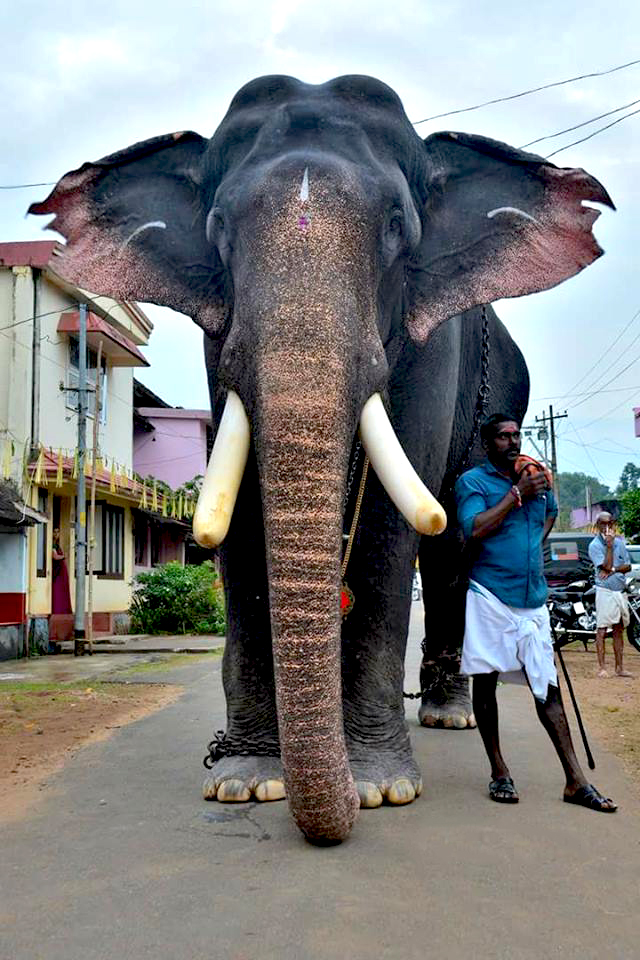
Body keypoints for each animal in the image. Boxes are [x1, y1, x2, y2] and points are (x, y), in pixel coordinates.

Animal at [30, 74, 613, 844]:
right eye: (218, 229)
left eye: (397, 228)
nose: (332, 817)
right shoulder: (220, 340)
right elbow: (240, 522)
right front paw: (245, 781)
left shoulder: (432, 352)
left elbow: (392, 531)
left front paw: (380, 788)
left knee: (450, 549)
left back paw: (448, 714)